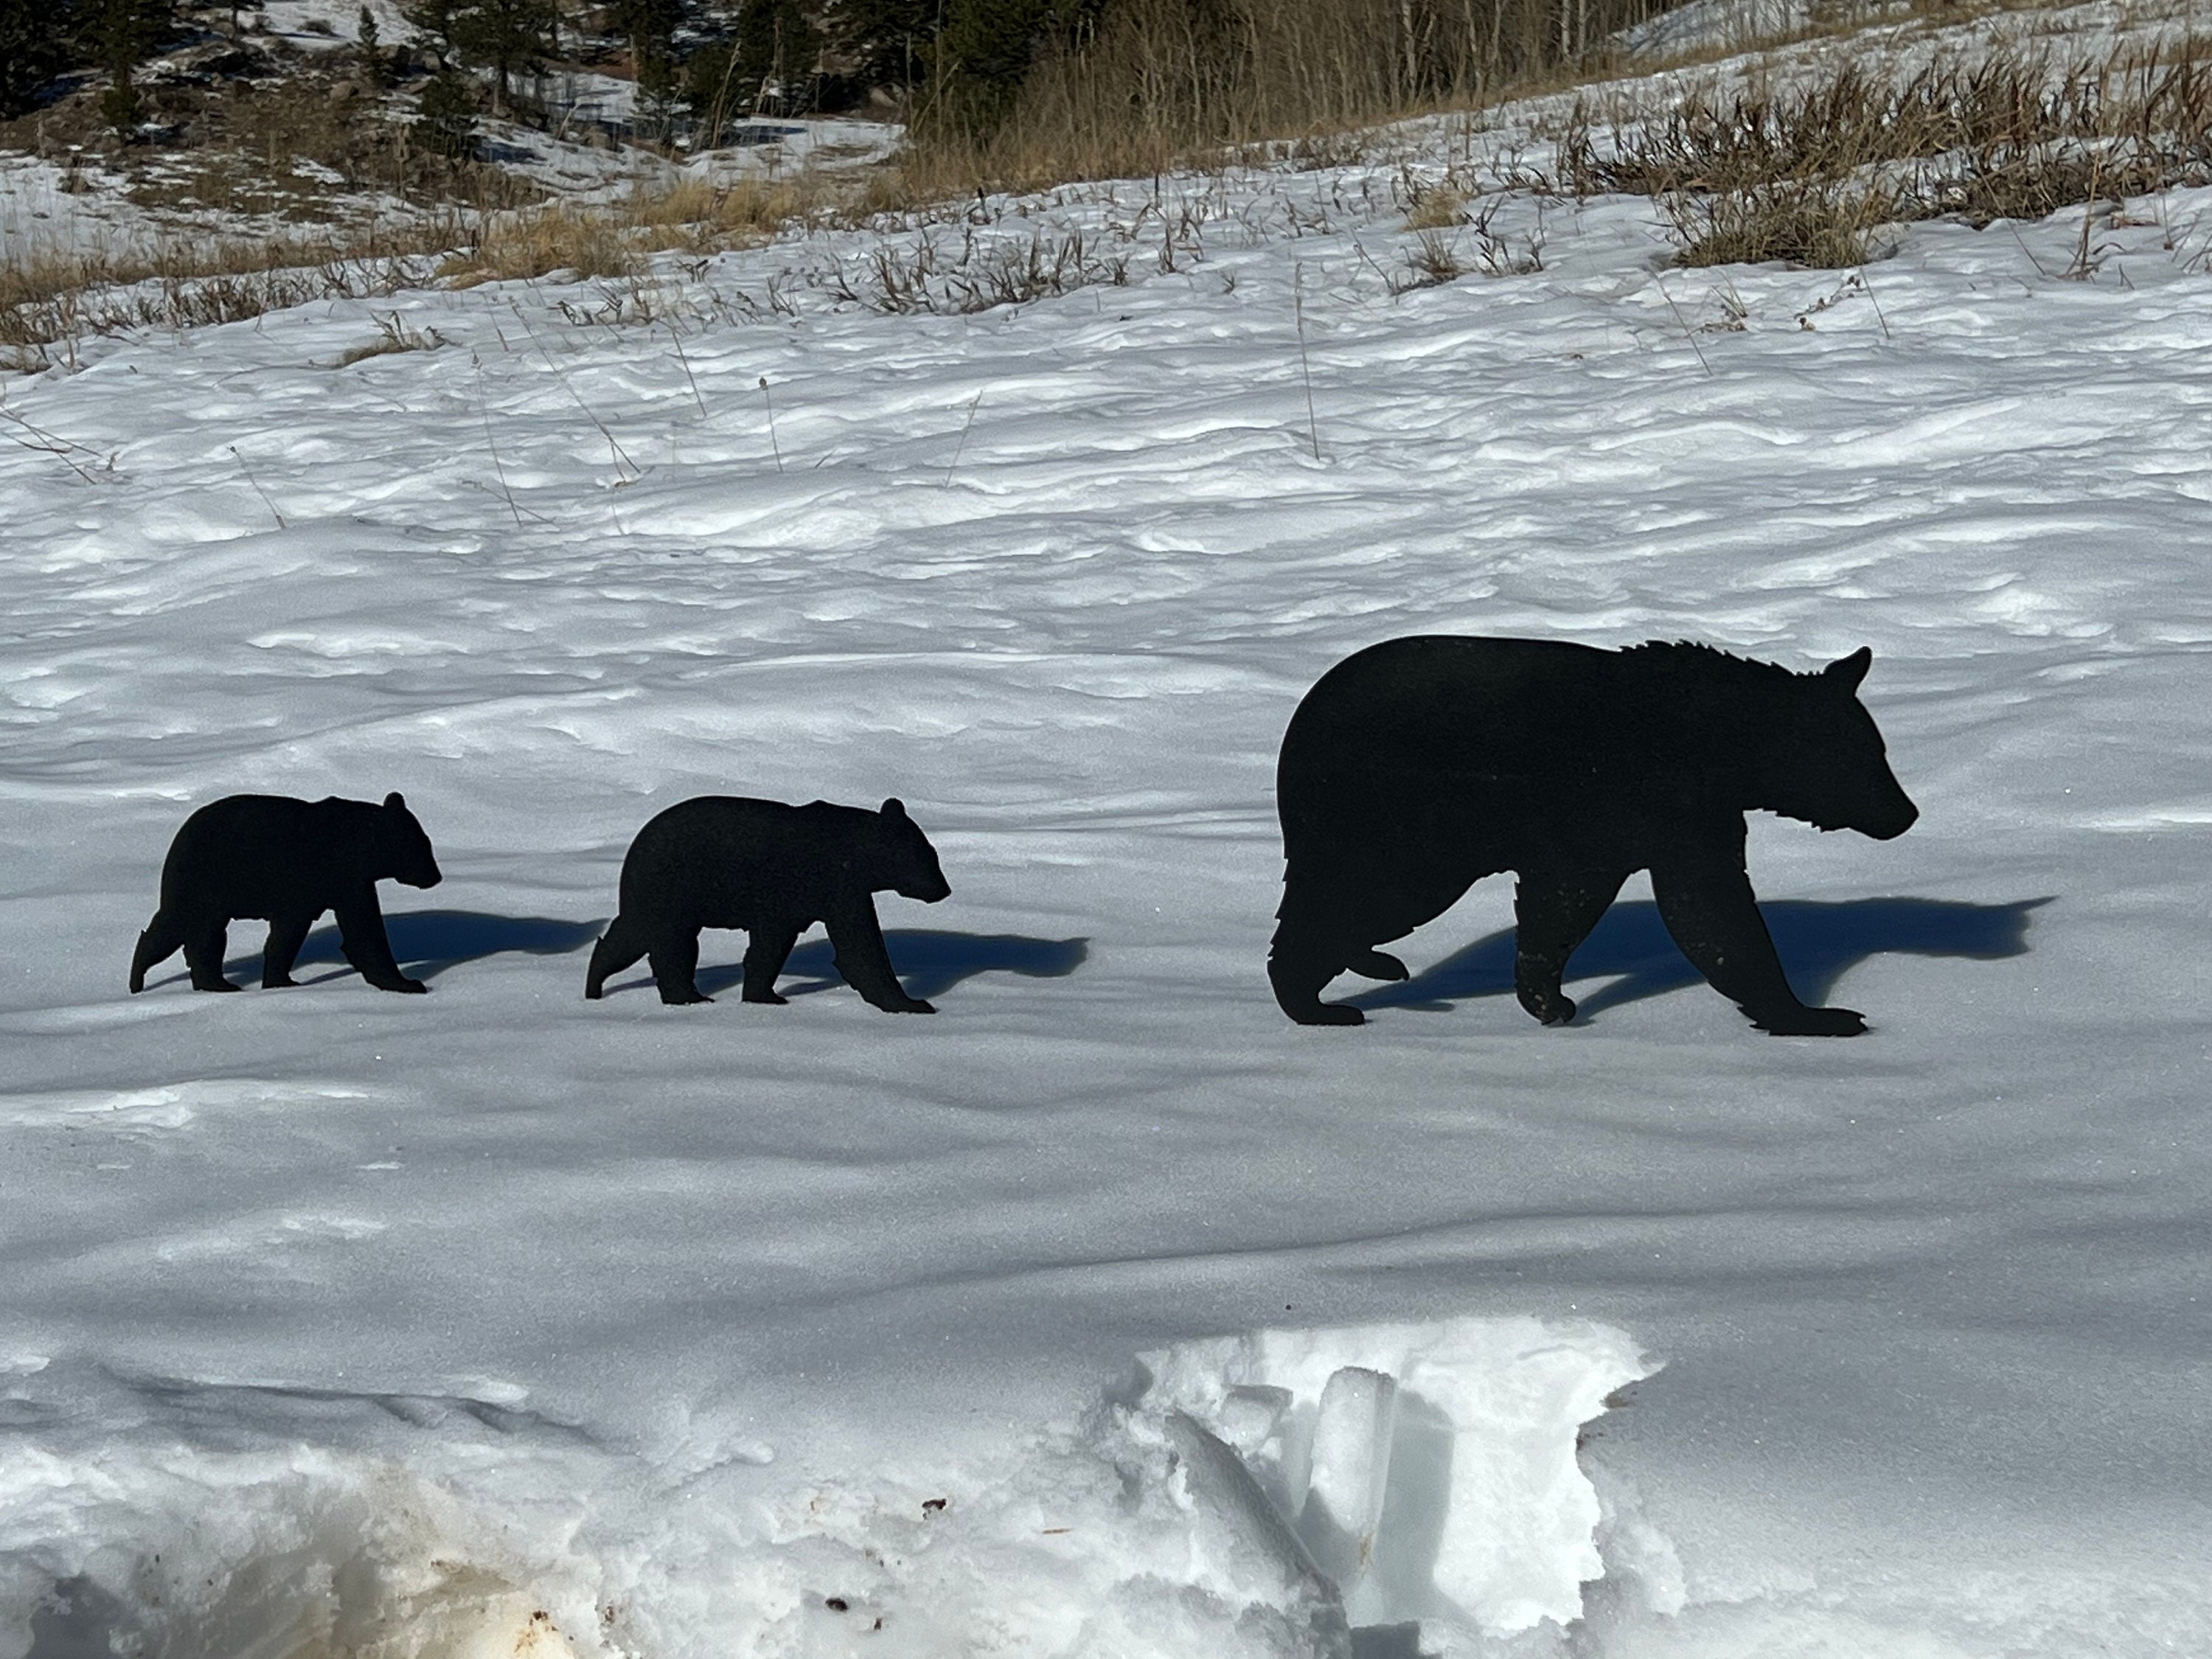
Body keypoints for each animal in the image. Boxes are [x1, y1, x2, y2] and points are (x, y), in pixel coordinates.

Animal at [129, 792, 444, 995]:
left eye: (426, 841)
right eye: (419, 847)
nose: (435, 876)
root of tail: (178, 836)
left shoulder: (341, 883)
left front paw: (279, 981)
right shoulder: (332, 878)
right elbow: (362, 929)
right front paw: (409, 983)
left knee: (199, 932)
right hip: (202, 880)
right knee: (184, 926)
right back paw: (145, 979)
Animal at [584, 796, 952, 1012]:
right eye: (927, 856)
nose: (943, 889)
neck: (854, 853)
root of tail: (634, 846)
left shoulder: (800, 899)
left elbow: (771, 946)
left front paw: (764, 996)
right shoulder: (835, 885)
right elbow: (859, 945)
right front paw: (913, 1002)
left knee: (638, 935)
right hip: (668, 888)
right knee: (666, 943)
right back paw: (685, 997)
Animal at [1268, 636, 1919, 1035]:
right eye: (1871, 756)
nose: (1907, 813)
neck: (1718, 742)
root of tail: (1295, 730)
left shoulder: (1645, 825)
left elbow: (1601, 907)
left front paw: (1545, 998)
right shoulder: (1652, 806)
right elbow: (1709, 909)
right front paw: (1818, 1016)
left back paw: (1371, 963)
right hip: (1397, 822)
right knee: (1352, 897)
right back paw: (1316, 1004)